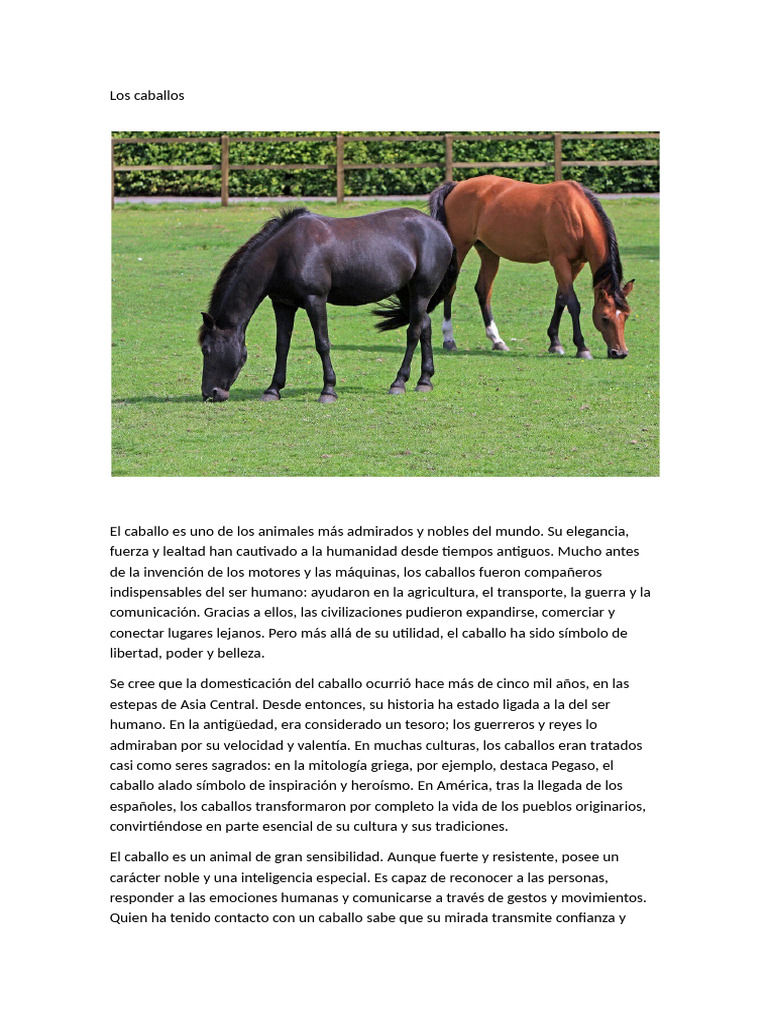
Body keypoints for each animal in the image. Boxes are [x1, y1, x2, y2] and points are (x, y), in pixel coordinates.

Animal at [199, 207, 458, 403]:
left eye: (206, 350)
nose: (210, 393)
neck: (284, 252)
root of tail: (439, 228)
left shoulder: (315, 299)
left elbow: (322, 344)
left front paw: (328, 390)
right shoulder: (283, 304)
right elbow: (282, 346)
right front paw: (273, 389)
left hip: (421, 291)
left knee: (413, 332)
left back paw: (399, 382)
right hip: (407, 293)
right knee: (424, 325)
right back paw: (424, 380)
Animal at [429, 176, 634, 359]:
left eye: (626, 316)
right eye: (605, 317)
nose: (620, 353)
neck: (576, 213)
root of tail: (457, 186)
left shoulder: (576, 264)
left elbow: (561, 299)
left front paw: (555, 343)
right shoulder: (560, 261)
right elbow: (572, 303)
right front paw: (582, 347)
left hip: (488, 252)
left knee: (483, 290)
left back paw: (497, 340)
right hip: (460, 247)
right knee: (451, 289)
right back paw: (449, 339)